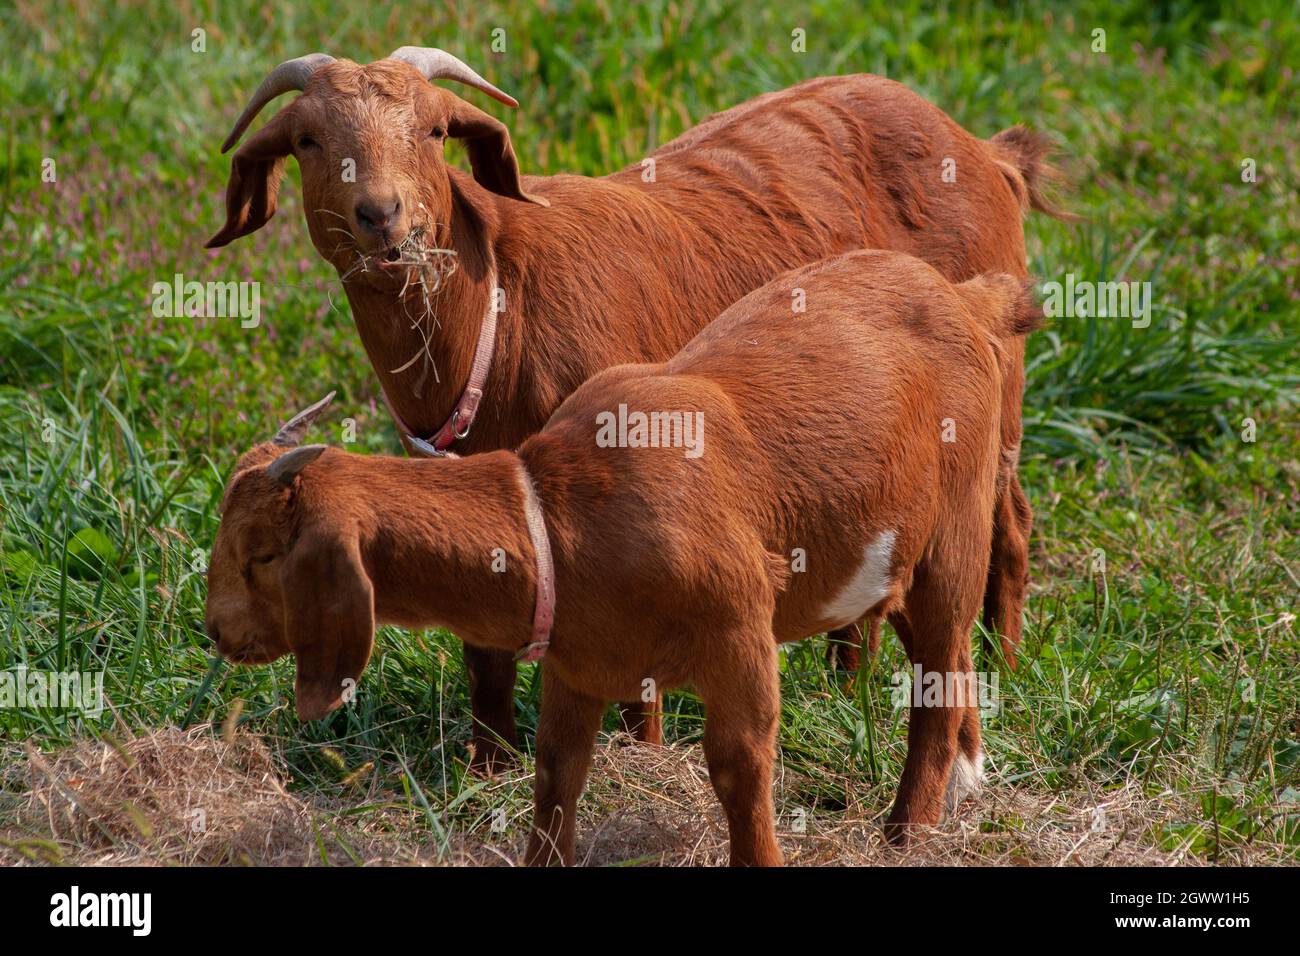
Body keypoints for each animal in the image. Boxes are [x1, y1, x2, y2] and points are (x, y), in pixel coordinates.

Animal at [204, 249, 1042, 865]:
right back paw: (965, 781)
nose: (215, 630)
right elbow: (556, 770)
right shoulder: (579, 664)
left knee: (938, 664)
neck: (558, 517)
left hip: (956, 525)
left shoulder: (739, 633)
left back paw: (909, 828)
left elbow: (739, 766)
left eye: (265, 554)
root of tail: (964, 297)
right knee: (945, 654)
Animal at [206, 47, 1067, 770]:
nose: (382, 216)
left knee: (1008, 523)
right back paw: (848, 679)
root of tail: (985, 150)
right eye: (308, 140)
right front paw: (487, 767)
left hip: (993, 402)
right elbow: (484, 653)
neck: (501, 307)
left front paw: (642, 763)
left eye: (435, 130)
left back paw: (1005, 664)